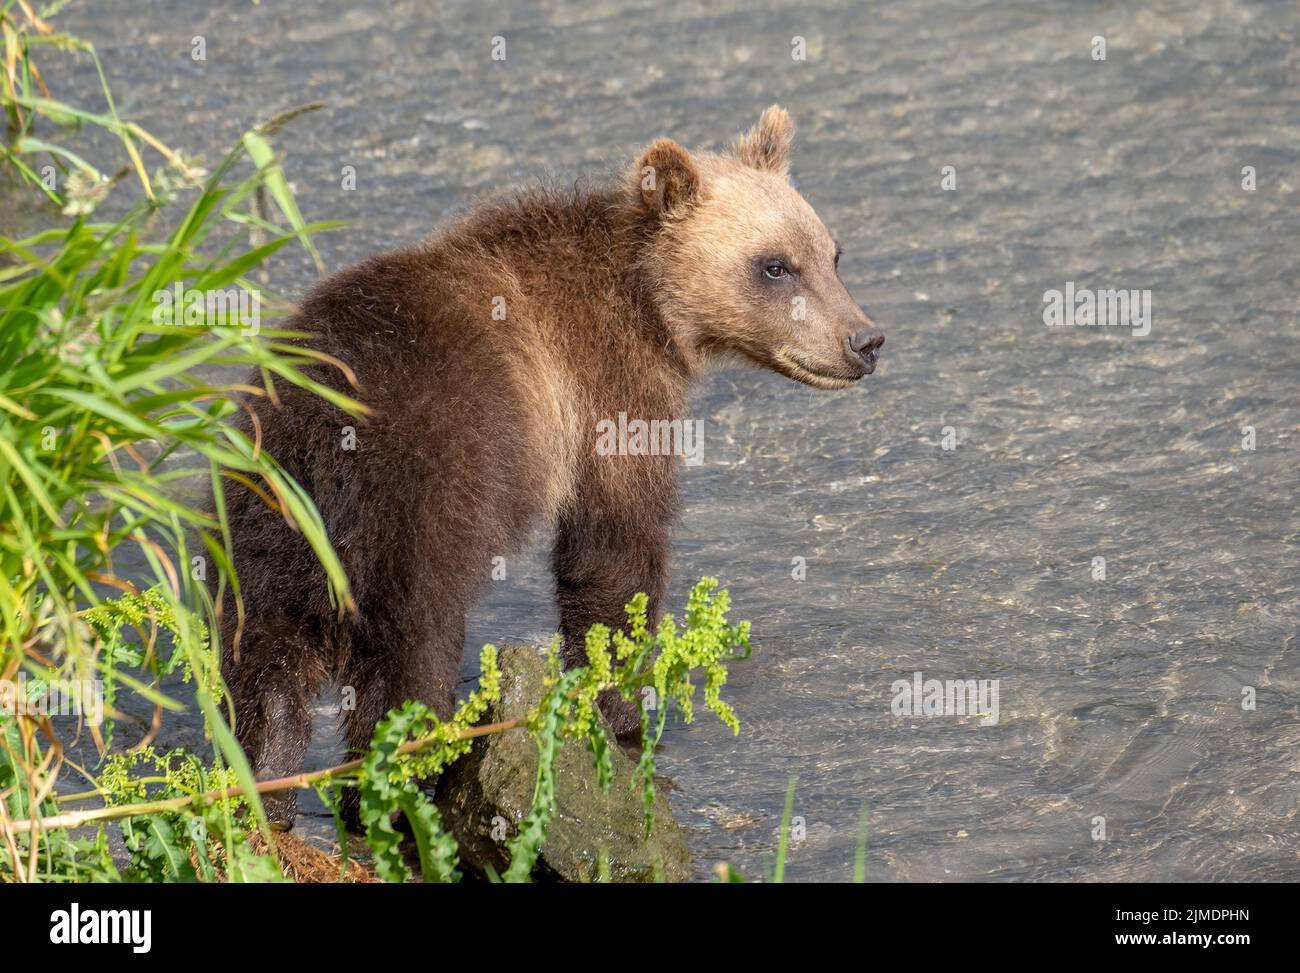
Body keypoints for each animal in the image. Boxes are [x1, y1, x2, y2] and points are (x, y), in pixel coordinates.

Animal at [215, 105, 884, 827]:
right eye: (775, 265)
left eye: (830, 254)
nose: (864, 339)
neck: (649, 304)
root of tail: (319, 444)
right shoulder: (604, 391)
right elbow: (614, 553)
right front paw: (620, 705)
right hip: (413, 521)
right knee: (409, 670)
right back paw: (397, 788)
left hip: (261, 533)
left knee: (265, 679)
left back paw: (266, 793)